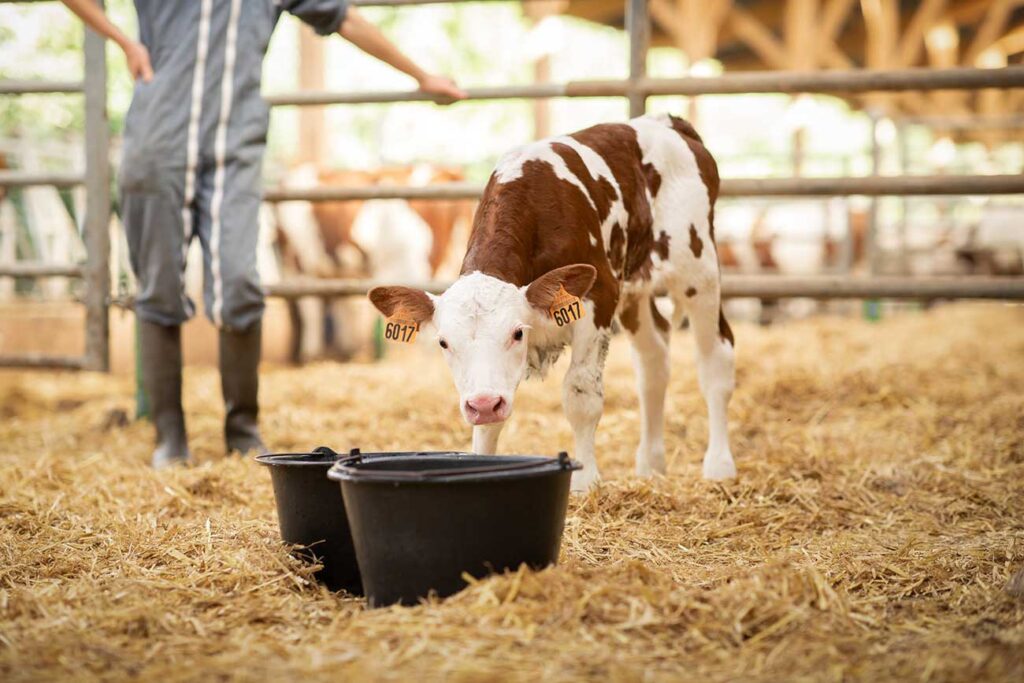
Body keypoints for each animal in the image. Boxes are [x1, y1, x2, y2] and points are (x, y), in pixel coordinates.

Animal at [369, 114, 736, 492]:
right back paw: (651, 464)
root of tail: (666, 121)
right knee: (653, 364)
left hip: (699, 271)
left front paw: (586, 481)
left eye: (517, 333)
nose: (483, 404)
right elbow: (489, 423)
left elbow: (581, 394)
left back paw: (719, 465)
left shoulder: (598, 297)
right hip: (636, 290)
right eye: (443, 342)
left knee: (716, 361)